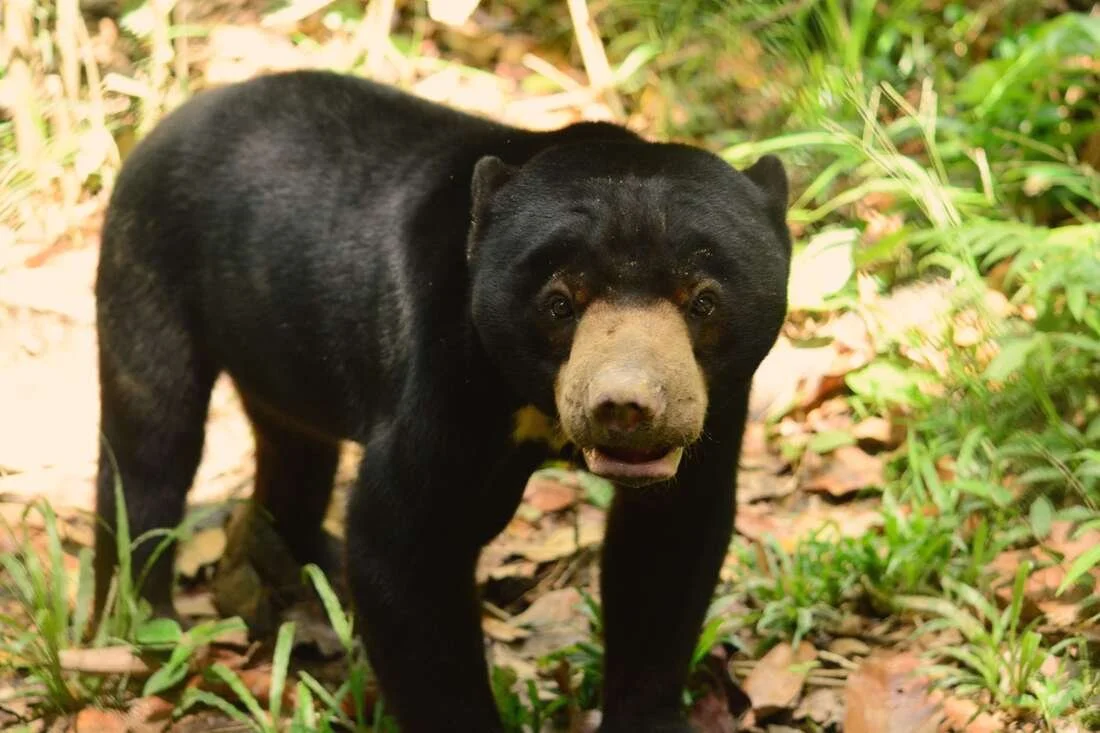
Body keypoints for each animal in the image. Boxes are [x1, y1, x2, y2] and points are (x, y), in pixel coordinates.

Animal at [92, 69, 791, 732]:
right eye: (559, 303)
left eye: (702, 300)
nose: (626, 406)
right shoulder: (444, 374)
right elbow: (403, 543)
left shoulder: (719, 405)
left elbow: (668, 545)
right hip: (148, 269)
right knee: (151, 447)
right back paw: (140, 623)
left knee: (294, 452)